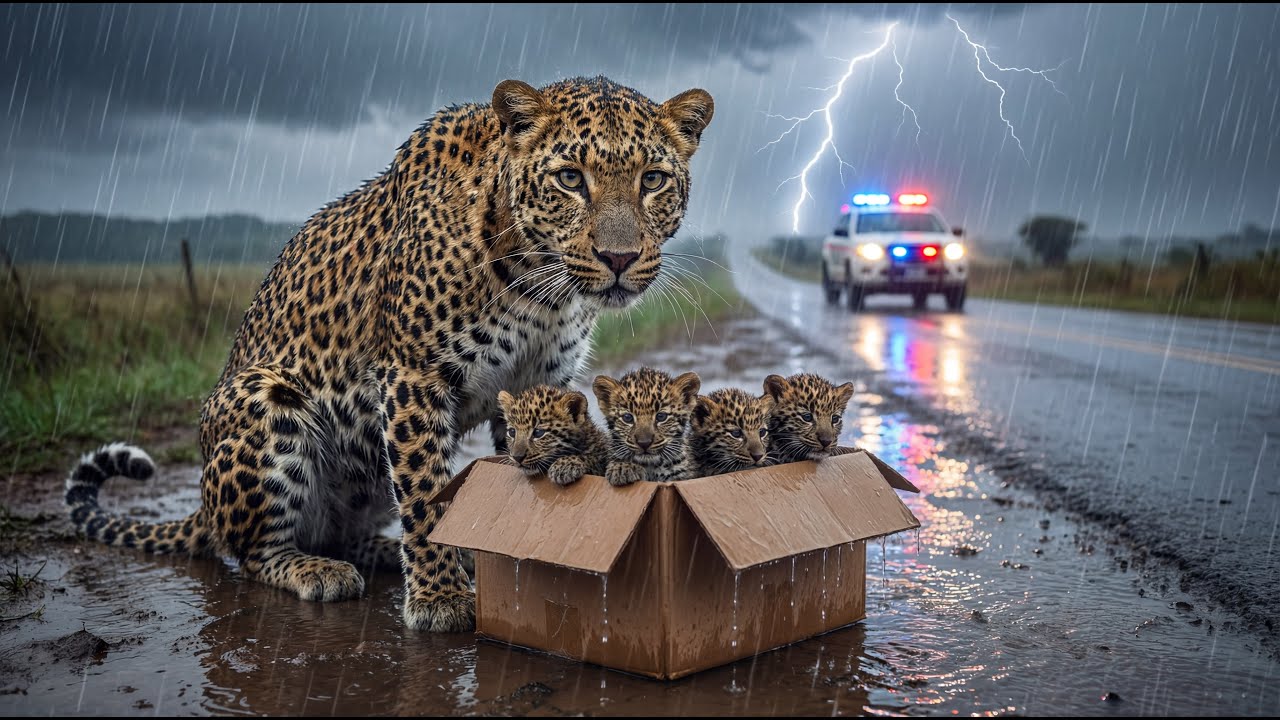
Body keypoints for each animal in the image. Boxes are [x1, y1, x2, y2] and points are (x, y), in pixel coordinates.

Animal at [62, 76, 714, 631]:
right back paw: (320, 570)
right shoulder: (413, 376)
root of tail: (200, 496)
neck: (538, 287)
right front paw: (441, 598)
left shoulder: (538, 386)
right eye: (571, 179)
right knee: (252, 552)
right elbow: (425, 489)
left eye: (653, 180)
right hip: (266, 398)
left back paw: (391, 550)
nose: (619, 258)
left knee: (341, 528)